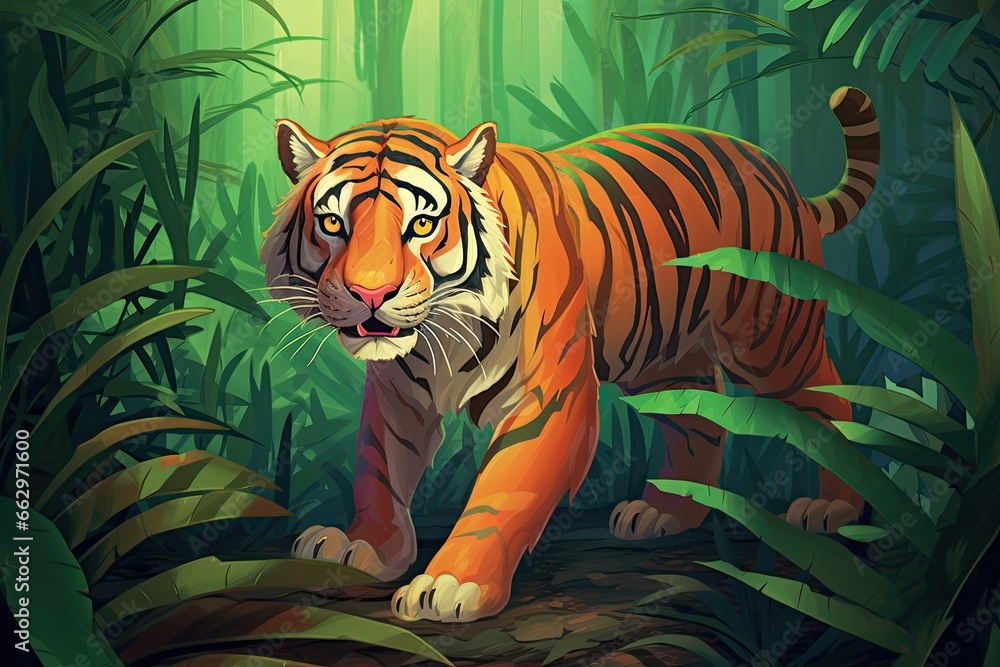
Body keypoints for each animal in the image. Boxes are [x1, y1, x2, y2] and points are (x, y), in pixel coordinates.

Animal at [264, 86, 880, 622]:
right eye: (333, 222)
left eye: (421, 224)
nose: (371, 294)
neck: (443, 332)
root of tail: (779, 172)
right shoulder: (400, 397)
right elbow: (379, 469)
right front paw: (365, 546)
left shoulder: (549, 397)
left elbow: (502, 492)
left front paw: (451, 584)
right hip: (664, 357)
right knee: (698, 419)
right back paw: (663, 512)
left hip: (771, 336)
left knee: (828, 399)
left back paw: (834, 509)